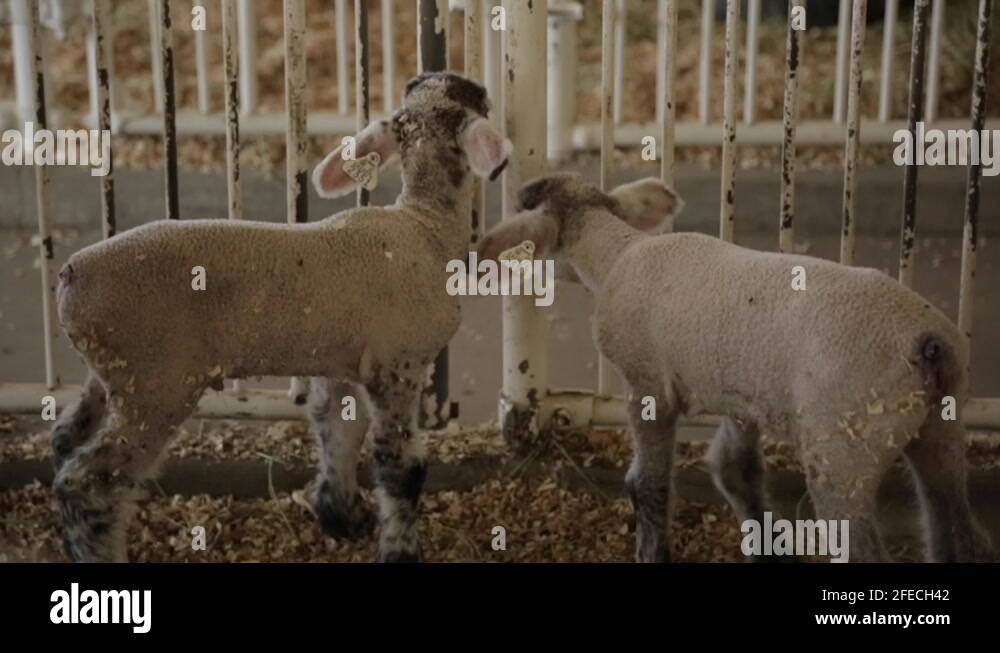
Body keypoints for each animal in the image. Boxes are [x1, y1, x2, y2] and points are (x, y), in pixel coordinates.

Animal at [50, 72, 511, 563]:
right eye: (473, 95)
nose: (423, 77)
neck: (424, 227)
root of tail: (70, 275)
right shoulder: (397, 365)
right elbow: (400, 468)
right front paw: (399, 549)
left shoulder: (342, 363)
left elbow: (339, 432)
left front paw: (340, 515)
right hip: (156, 383)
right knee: (86, 481)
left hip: (110, 375)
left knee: (65, 438)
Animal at [477, 172, 993, 563]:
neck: (618, 254)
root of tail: (928, 344)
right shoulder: (741, 395)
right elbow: (733, 469)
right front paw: (769, 547)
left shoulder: (647, 383)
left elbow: (646, 483)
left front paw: (652, 552)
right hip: (941, 428)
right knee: (957, 529)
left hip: (845, 449)